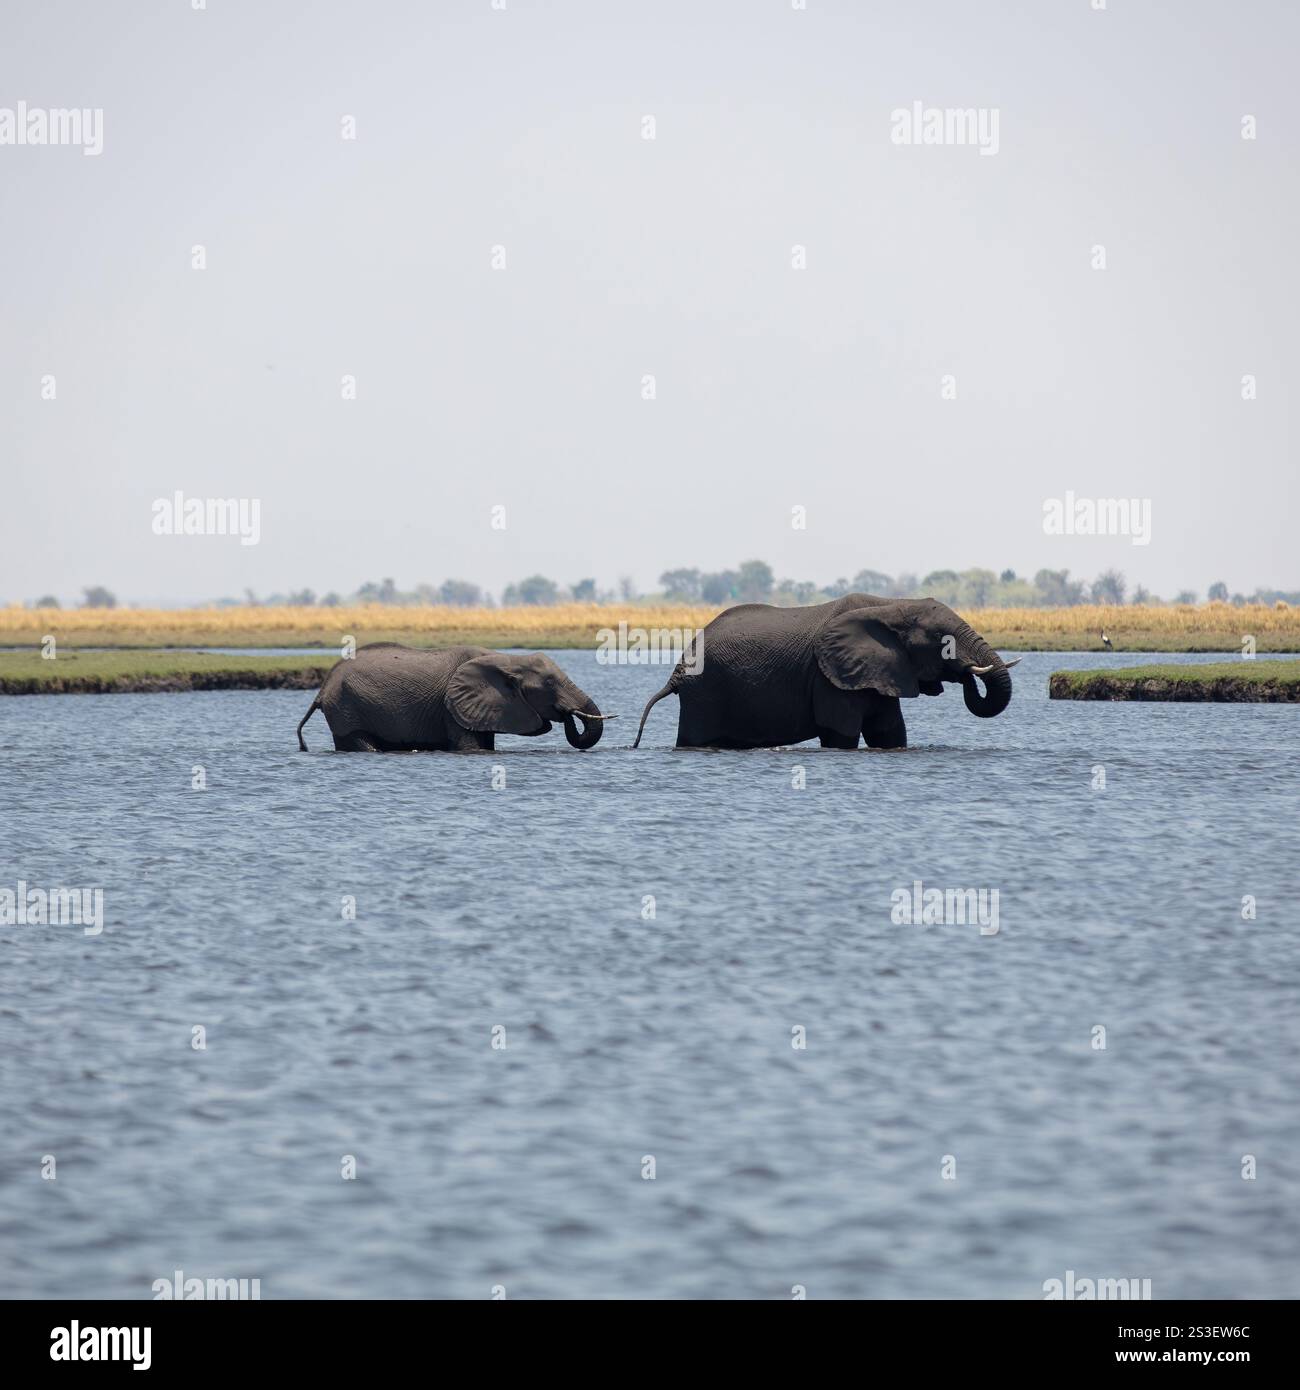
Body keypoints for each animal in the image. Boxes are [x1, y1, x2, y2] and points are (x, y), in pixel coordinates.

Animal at [297, 643, 613, 752]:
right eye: (549, 684)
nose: (566, 713)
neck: (507, 658)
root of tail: (321, 689)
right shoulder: (452, 707)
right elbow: (470, 746)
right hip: (346, 708)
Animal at [632, 593, 1019, 750]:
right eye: (943, 641)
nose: (966, 672)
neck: (892, 604)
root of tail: (679, 669)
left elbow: (890, 733)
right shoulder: (829, 676)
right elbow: (840, 736)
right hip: (705, 694)